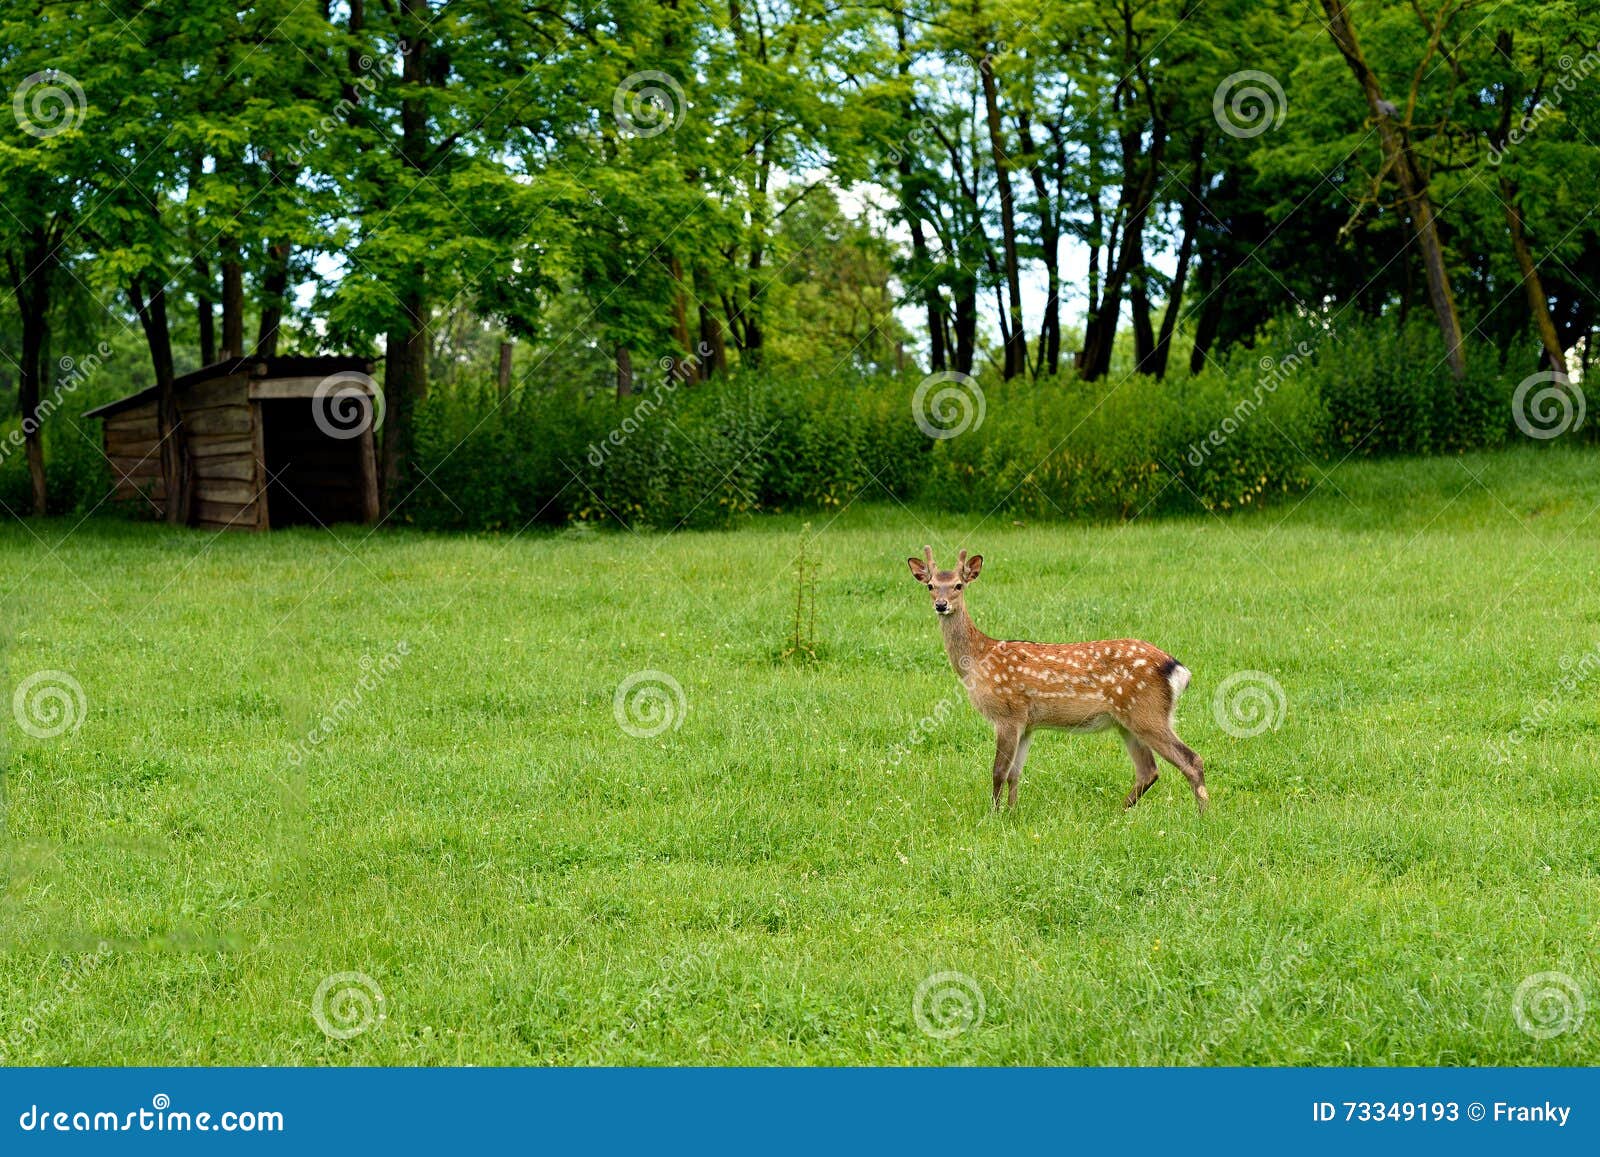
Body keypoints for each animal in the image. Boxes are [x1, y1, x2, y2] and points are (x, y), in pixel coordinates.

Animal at [906, 547, 1209, 814]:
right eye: (930, 585)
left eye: (958, 585)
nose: (941, 605)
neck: (979, 659)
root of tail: (1177, 668)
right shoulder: (1027, 723)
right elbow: (1015, 773)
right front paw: (1012, 813)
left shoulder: (1007, 714)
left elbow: (998, 771)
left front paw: (992, 815)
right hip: (1127, 720)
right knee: (1149, 771)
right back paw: (1119, 813)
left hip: (1147, 711)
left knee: (1191, 759)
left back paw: (1202, 816)